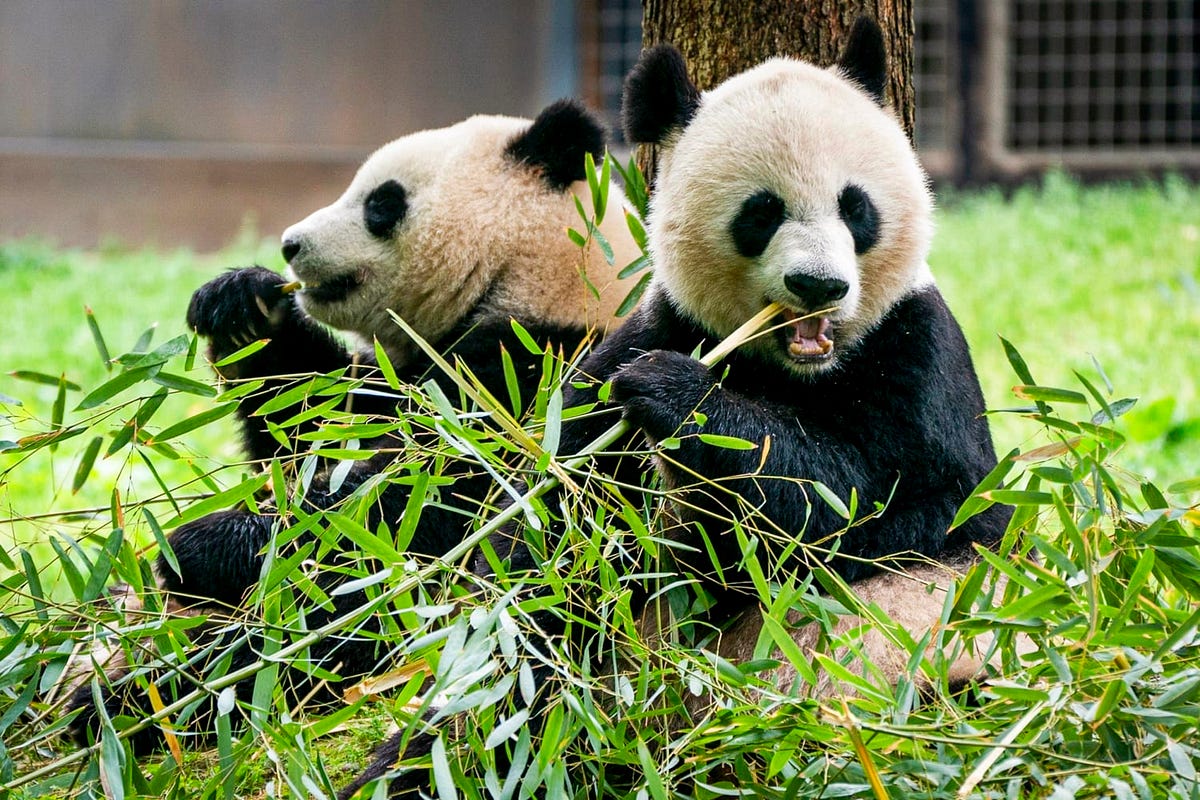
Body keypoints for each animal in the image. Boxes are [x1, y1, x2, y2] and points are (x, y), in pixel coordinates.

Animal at [63, 99, 641, 753]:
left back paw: (132, 702)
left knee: (303, 642)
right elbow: (306, 428)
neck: (534, 277)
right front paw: (241, 306)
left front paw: (197, 546)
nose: (290, 245)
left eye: (380, 203)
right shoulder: (398, 375)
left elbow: (418, 512)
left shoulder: (538, 376)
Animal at [343, 17, 1010, 798]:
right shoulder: (649, 331)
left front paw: (678, 397)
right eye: (762, 212)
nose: (819, 286)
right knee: (523, 692)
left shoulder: (919, 357)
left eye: (856, 207)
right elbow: (556, 537)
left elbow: (873, 506)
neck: (794, 369)